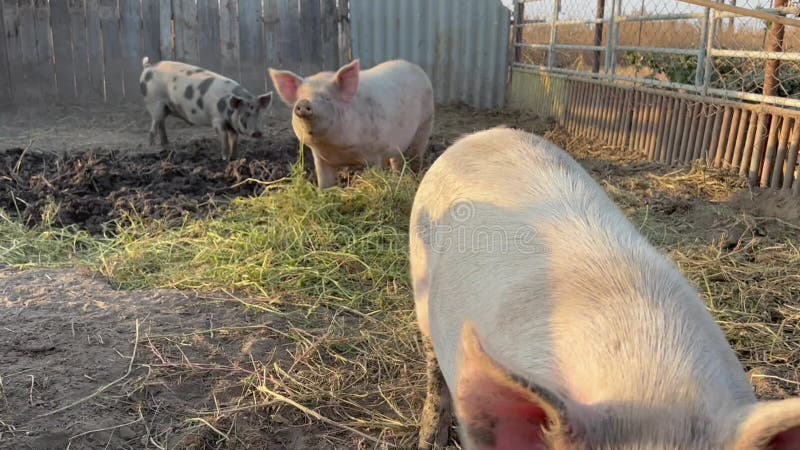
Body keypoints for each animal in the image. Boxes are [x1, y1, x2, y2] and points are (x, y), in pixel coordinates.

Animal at [139, 57, 272, 160]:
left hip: (165, 108)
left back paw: (166, 145)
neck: (225, 105)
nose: (257, 133)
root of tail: (148, 67)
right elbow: (224, 136)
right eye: (245, 114)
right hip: (155, 103)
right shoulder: (216, 119)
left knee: (161, 124)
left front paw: (234, 158)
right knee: (154, 126)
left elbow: (234, 139)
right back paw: (152, 147)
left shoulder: (231, 125)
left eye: (258, 112)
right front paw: (224, 158)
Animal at [268, 59, 434, 188]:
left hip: (425, 124)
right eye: (300, 96)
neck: (339, 151)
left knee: (416, 156)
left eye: (327, 98)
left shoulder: (374, 154)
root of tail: (415, 67)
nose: (303, 103)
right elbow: (324, 183)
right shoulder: (320, 159)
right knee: (397, 161)